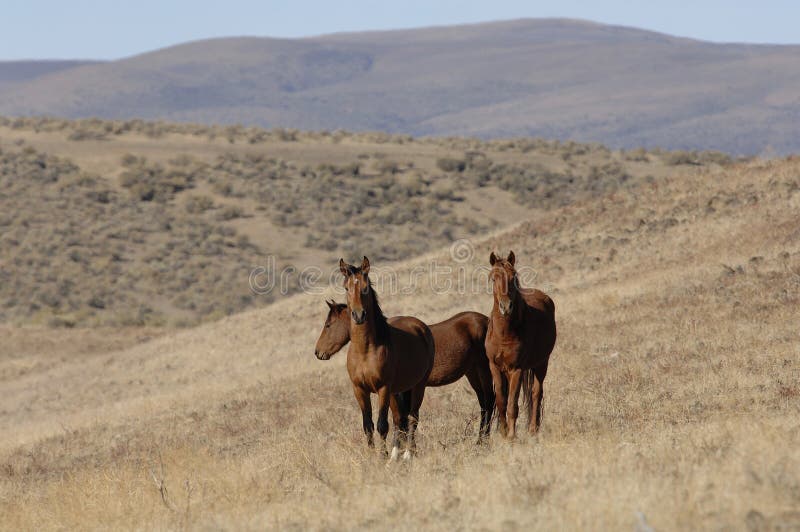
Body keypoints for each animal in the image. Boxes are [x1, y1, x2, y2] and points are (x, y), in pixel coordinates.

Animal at [316, 302, 495, 441]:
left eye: (328, 325)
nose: (318, 352)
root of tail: (486, 320)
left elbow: (400, 420)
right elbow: (400, 420)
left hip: (483, 369)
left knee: (489, 401)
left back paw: (482, 441)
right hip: (472, 372)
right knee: (483, 404)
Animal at [334, 257, 435, 459]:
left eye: (365, 287)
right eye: (346, 288)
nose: (359, 315)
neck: (365, 351)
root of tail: (420, 326)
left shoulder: (383, 388)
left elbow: (382, 425)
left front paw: (382, 456)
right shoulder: (359, 390)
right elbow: (368, 425)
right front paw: (373, 457)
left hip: (417, 386)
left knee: (412, 417)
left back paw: (408, 454)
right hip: (398, 391)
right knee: (400, 418)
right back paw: (398, 455)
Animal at [485, 250, 556, 439]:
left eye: (513, 277)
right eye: (493, 278)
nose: (505, 307)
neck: (505, 333)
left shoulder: (516, 369)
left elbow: (512, 404)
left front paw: (512, 436)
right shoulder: (494, 367)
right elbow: (501, 401)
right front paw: (503, 433)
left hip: (542, 363)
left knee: (536, 394)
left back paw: (533, 430)